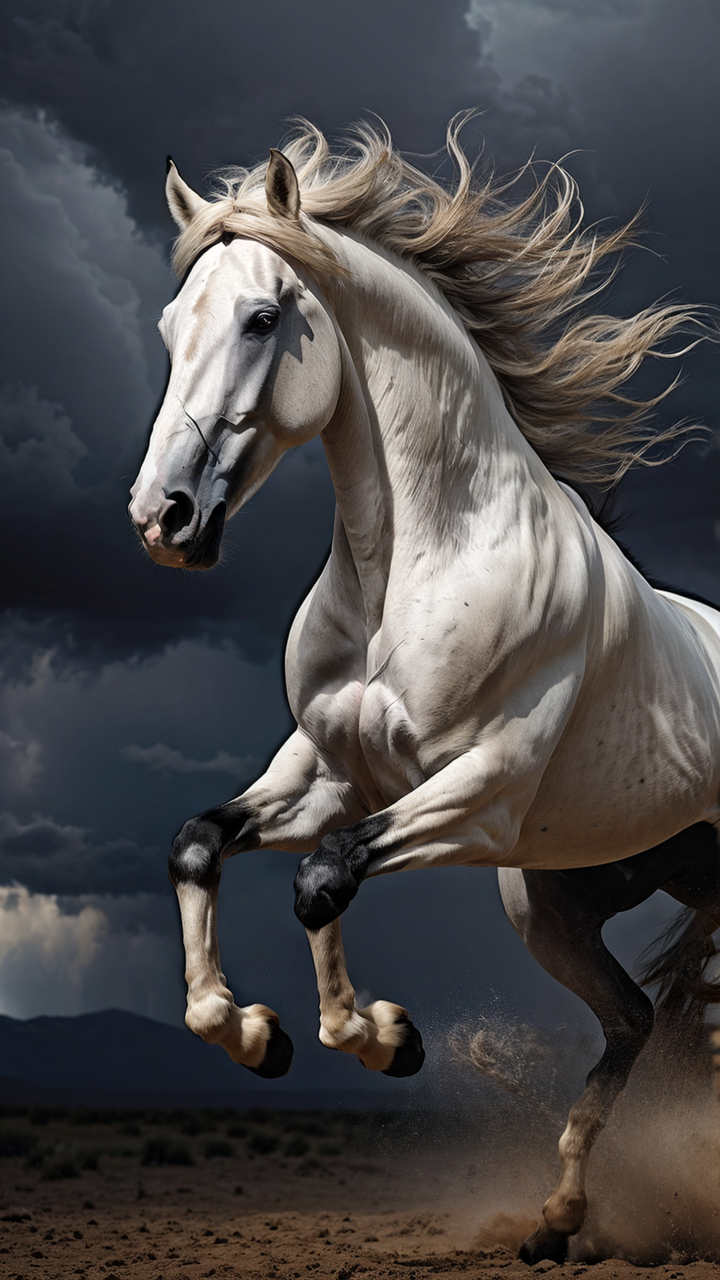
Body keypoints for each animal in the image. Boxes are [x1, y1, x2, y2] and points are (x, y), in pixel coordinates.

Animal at [128, 119, 720, 1263]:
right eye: (175, 322)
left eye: (263, 318)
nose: (161, 517)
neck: (416, 561)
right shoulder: (329, 778)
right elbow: (201, 845)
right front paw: (261, 1034)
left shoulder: (478, 798)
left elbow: (322, 879)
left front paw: (383, 1038)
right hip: (561, 898)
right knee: (634, 1021)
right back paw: (556, 1219)